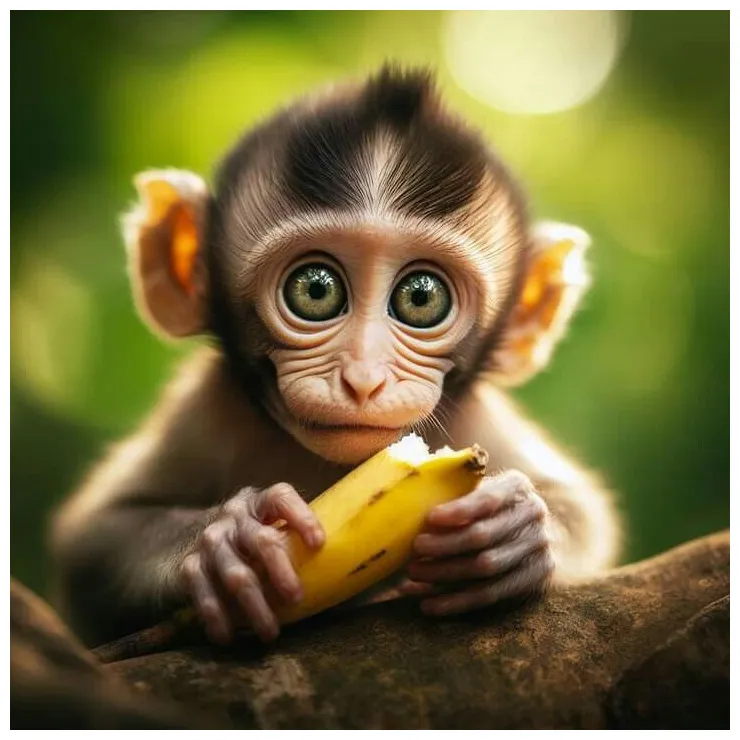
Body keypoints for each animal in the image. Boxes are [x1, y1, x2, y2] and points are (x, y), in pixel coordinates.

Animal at [50, 65, 620, 648]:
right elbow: (91, 540)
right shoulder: (207, 409)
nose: (363, 379)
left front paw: (517, 532)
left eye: (421, 298)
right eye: (316, 289)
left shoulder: (477, 416)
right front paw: (224, 541)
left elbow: (587, 514)